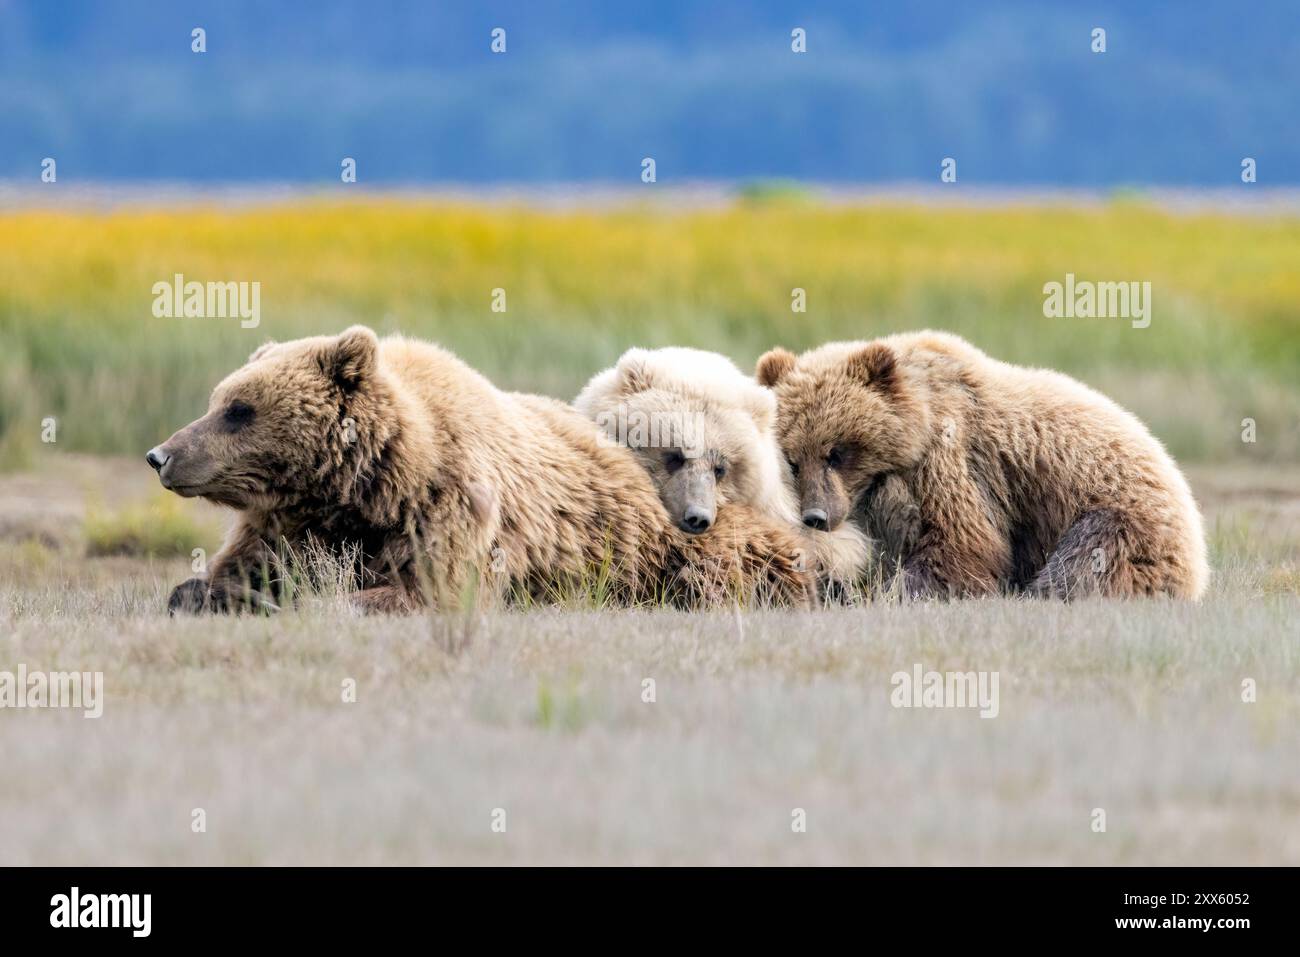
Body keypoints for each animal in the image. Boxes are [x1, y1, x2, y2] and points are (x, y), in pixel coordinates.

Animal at [147, 326, 814, 614]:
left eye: (238, 409)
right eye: (219, 399)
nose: (161, 455)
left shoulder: (448, 507)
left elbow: (434, 588)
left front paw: (328, 601)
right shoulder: (292, 523)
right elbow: (246, 568)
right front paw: (204, 593)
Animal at [755, 330, 1209, 600]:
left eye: (837, 451)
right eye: (793, 460)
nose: (815, 516)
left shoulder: (951, 459)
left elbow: (959, 543)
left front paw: (887, 592)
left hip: (1124, 520)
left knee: (1087, 560)